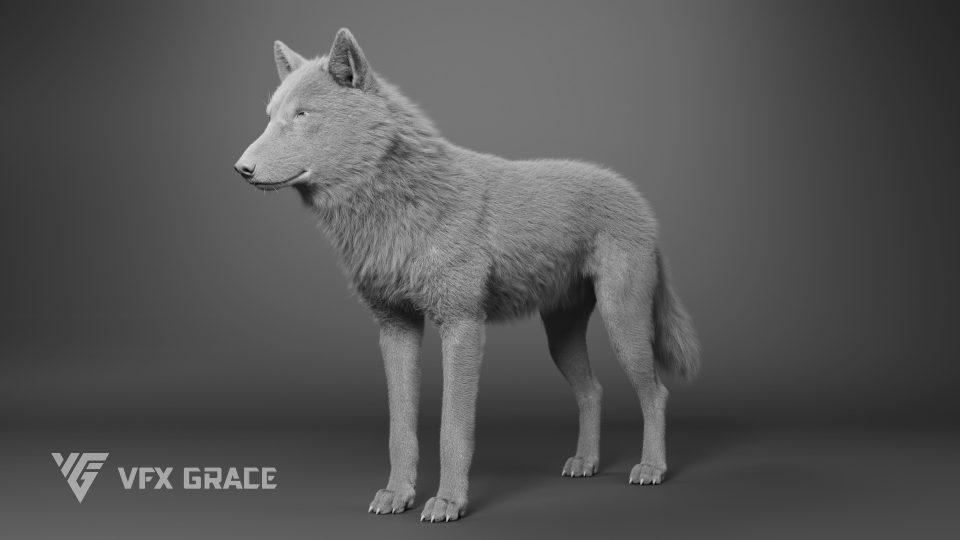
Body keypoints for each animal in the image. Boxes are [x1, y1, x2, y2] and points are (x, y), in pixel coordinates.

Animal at [235, 28, 700, 523]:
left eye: (302, 115)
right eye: (269, 118)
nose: (240, 168)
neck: (403, 209)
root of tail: (635, 196)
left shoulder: (462, 326)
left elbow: (452, 429)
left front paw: (448, 502)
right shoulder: (395, 329)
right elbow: (400, 430)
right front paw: (397, 494)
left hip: (622, 324)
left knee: (655, 393)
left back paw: (651, 468)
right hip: (560, 336)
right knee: (592, 392)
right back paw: (585, 462)